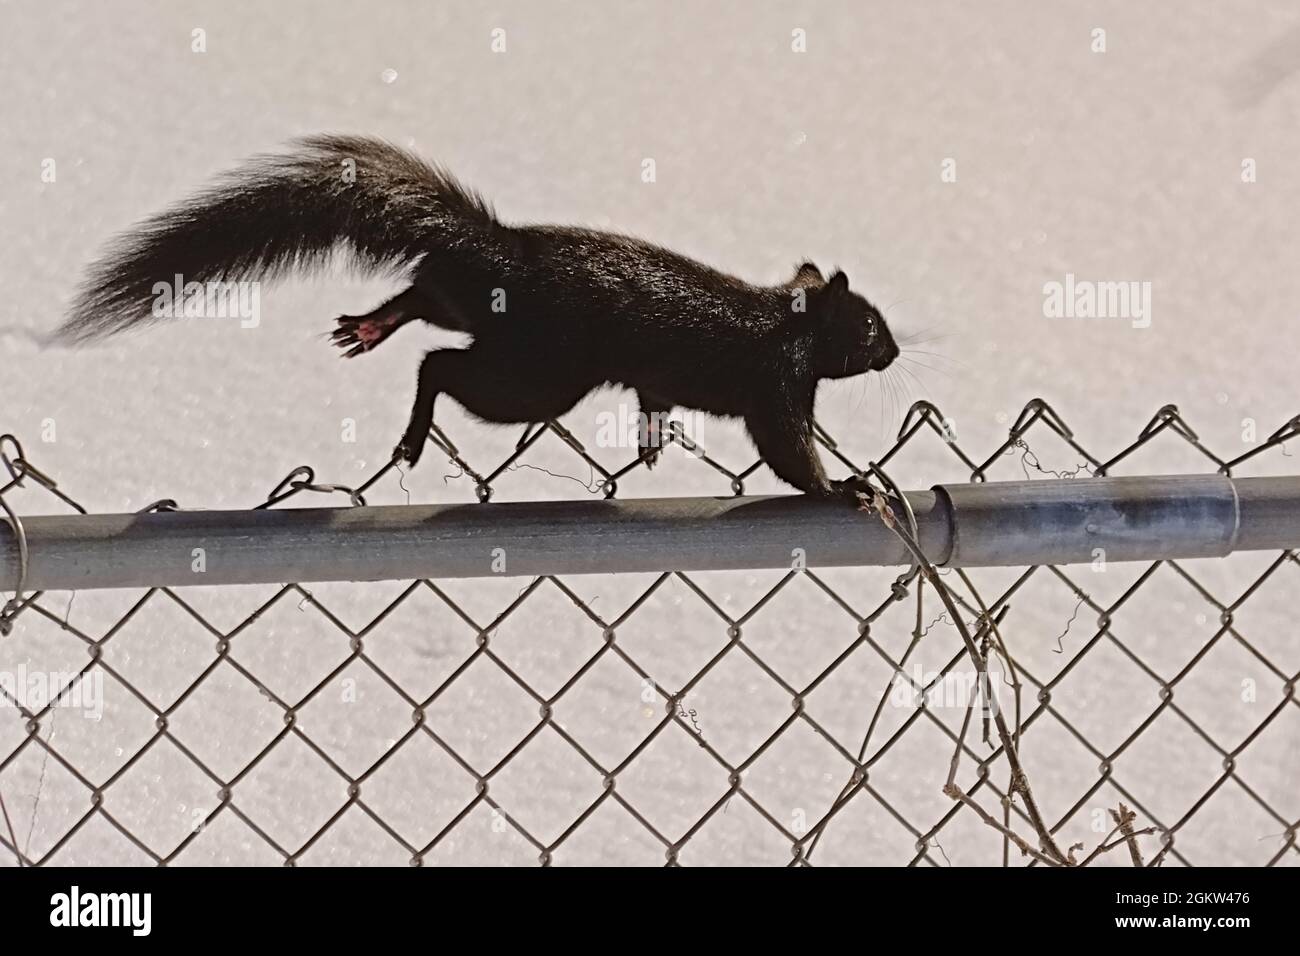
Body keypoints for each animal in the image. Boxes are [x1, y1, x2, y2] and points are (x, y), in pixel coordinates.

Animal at [60, 135, 899, 502]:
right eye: (867, 327)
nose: (893, 354)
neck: (788, 320)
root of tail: (504, 255)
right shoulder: (776, 382)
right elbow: (787, 447)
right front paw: (842, 488)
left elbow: (655, 398)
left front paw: (652, 437)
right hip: (538, 374)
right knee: (441, 365)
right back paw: (411, 431)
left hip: (487, 315)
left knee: (425, 296)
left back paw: (372, 325)